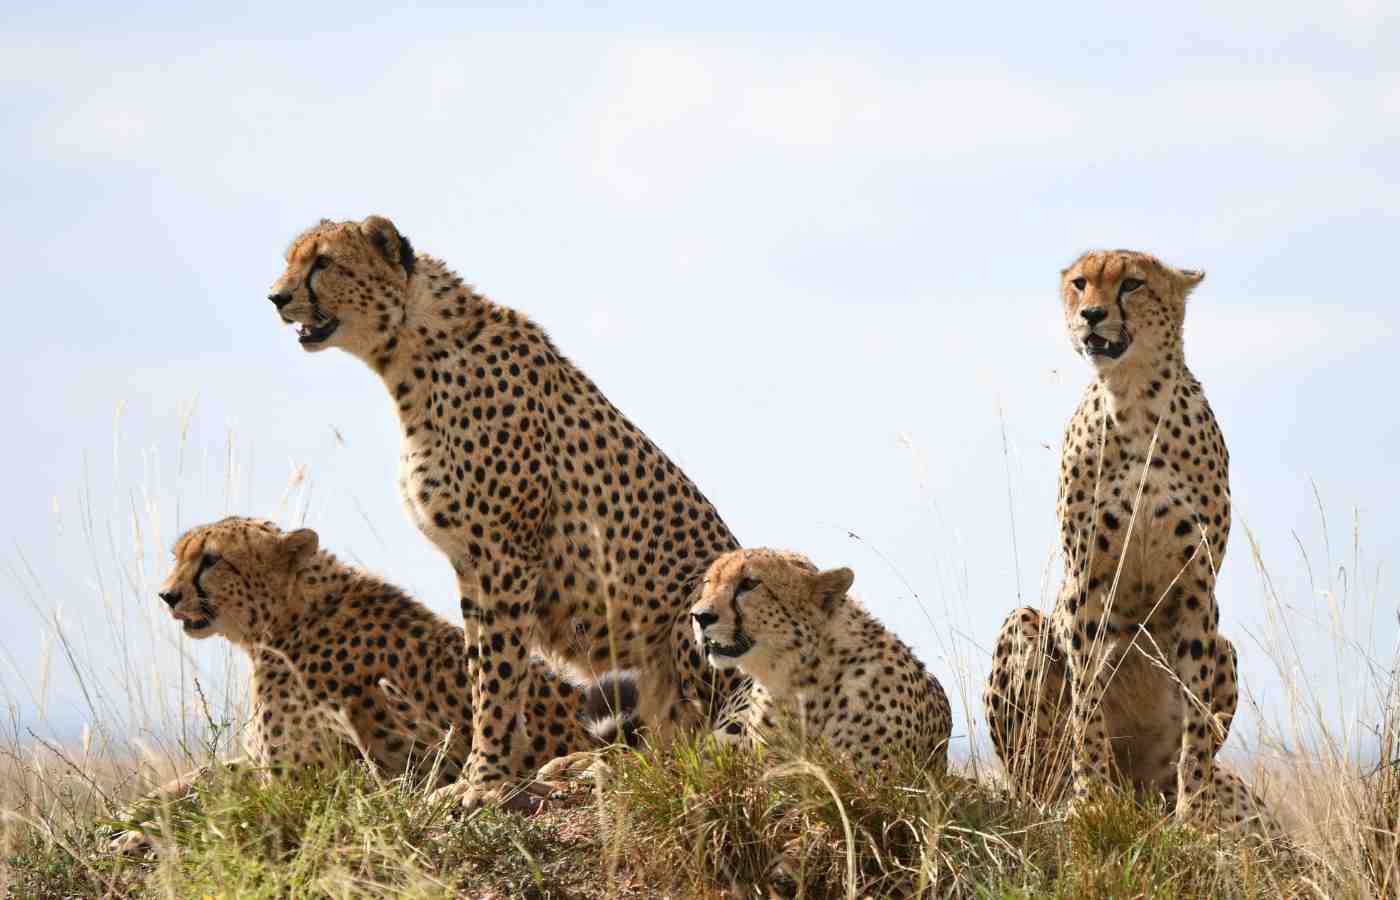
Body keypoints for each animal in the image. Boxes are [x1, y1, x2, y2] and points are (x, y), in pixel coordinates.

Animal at [111, 517, 634, 851]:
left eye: (212, 560)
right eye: (179, 556)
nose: (167, 595)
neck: (287, 616)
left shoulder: (310, 779)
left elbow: (225, 801)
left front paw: (145, 834)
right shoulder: (272, 763)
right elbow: (203, 775)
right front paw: (133, 813)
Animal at [266, 216, 749, 809]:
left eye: (324, 263)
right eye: (292, 259)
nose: (276, 297)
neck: (413, 354)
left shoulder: (506, 554)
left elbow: (499, 673)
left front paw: (485, 781)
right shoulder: (469, 563)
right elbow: (485, 670)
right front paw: (496, 771)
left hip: (696, 616)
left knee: (702, 745)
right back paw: (578, 763)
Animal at [982, 249, 1276, 835]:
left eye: (1133, 284)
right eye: (1080, 283)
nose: (1092, 315)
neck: (1134, 396)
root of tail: (1139, 791)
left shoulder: (1195, 586)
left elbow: (1196, 725)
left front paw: (1195, 813)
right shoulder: (1087, 583)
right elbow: (1088, 702)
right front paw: (1091, 799)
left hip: (1224, 648)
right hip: (1023, 625)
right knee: (1036, 774)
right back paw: (1059, 800)